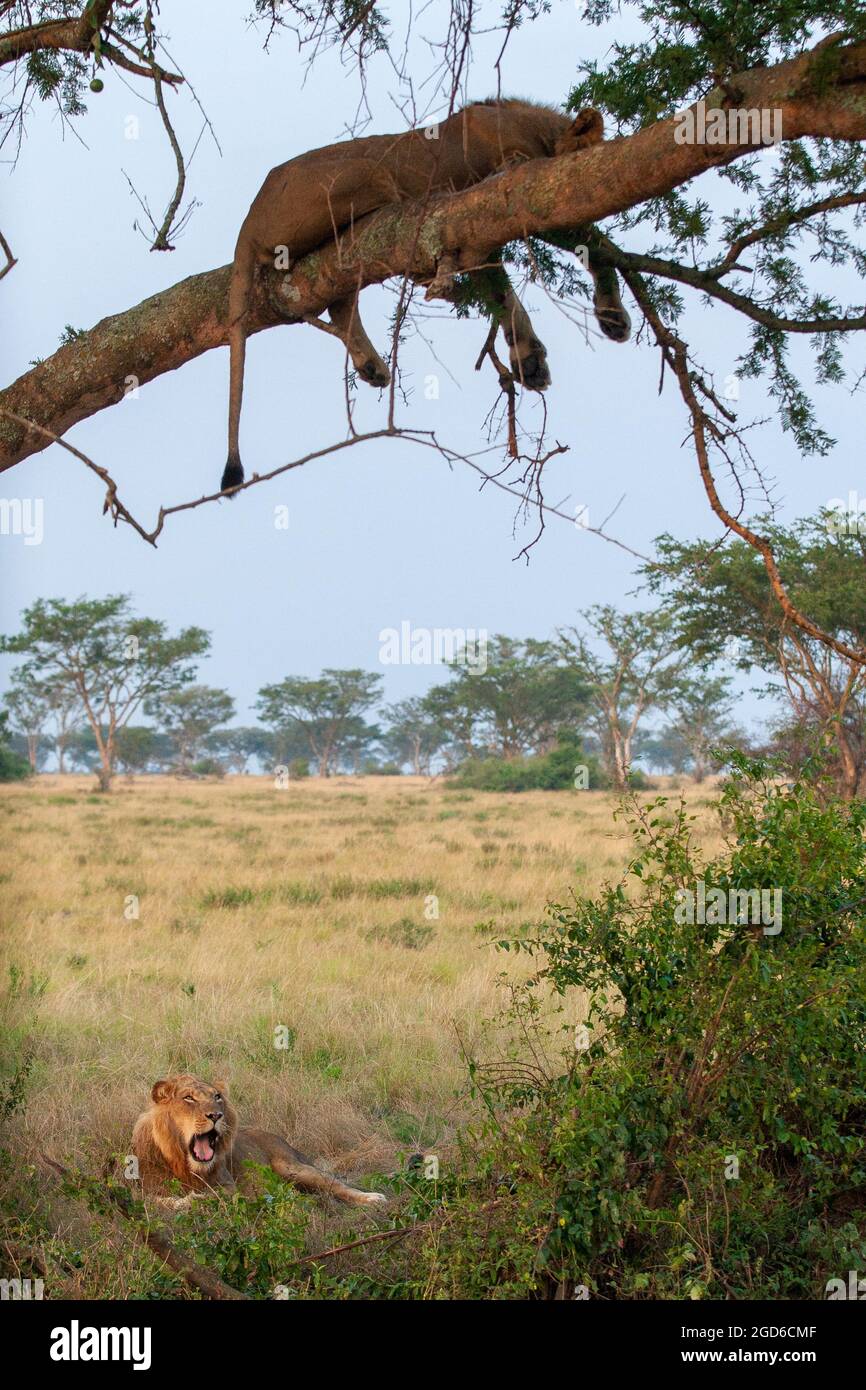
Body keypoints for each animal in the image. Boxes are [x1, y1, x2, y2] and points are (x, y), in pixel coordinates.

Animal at [131, 1075, 387, 1208]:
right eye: (188, 1098)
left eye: (217, 1097)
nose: (216, 1115)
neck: (185, 1165)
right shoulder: (140, 1186)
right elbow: (154, 1200)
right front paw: (181, 1201)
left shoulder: (229, 1187)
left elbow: (209, 1196)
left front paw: (191, 1200)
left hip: (293, 1167)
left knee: (337, 1185)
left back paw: (373, 1198)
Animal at [221, 98, 630, 493]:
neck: (538, 132)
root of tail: (249, 218)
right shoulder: (513, 200)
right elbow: (573, 258)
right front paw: (546, 348)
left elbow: (520, 287)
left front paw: (584, 330)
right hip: (371, 174)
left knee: (340, 301)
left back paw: (372, 365)